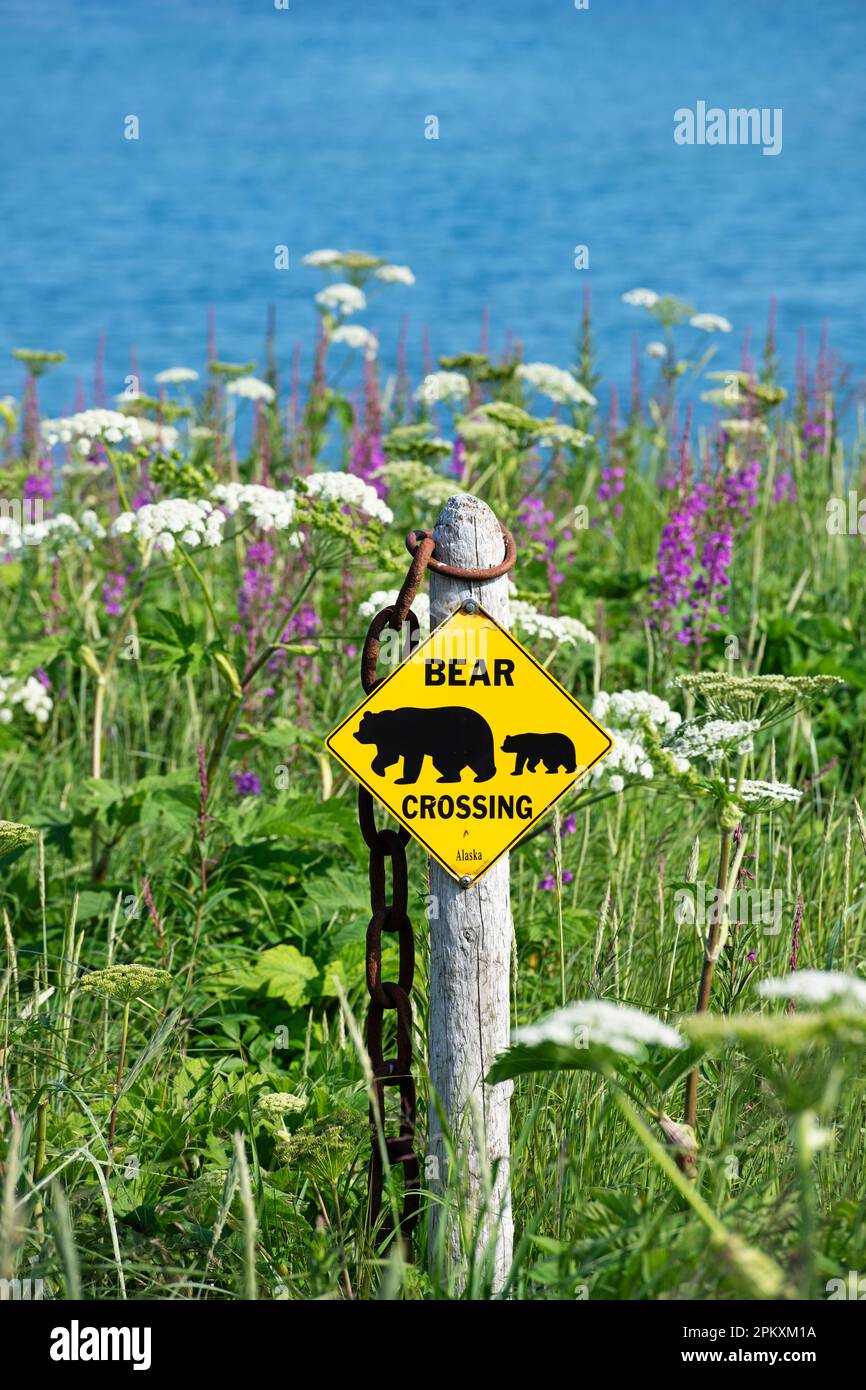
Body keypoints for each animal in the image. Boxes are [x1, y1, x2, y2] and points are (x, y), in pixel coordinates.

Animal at [354, 706, 497, 785]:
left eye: (362, 726)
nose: (356, 735)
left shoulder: (407, 743)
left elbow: (410, 761)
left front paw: (403, 779)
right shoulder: (388, 744)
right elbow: (389, 757)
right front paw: (381, 772)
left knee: (478, 761)